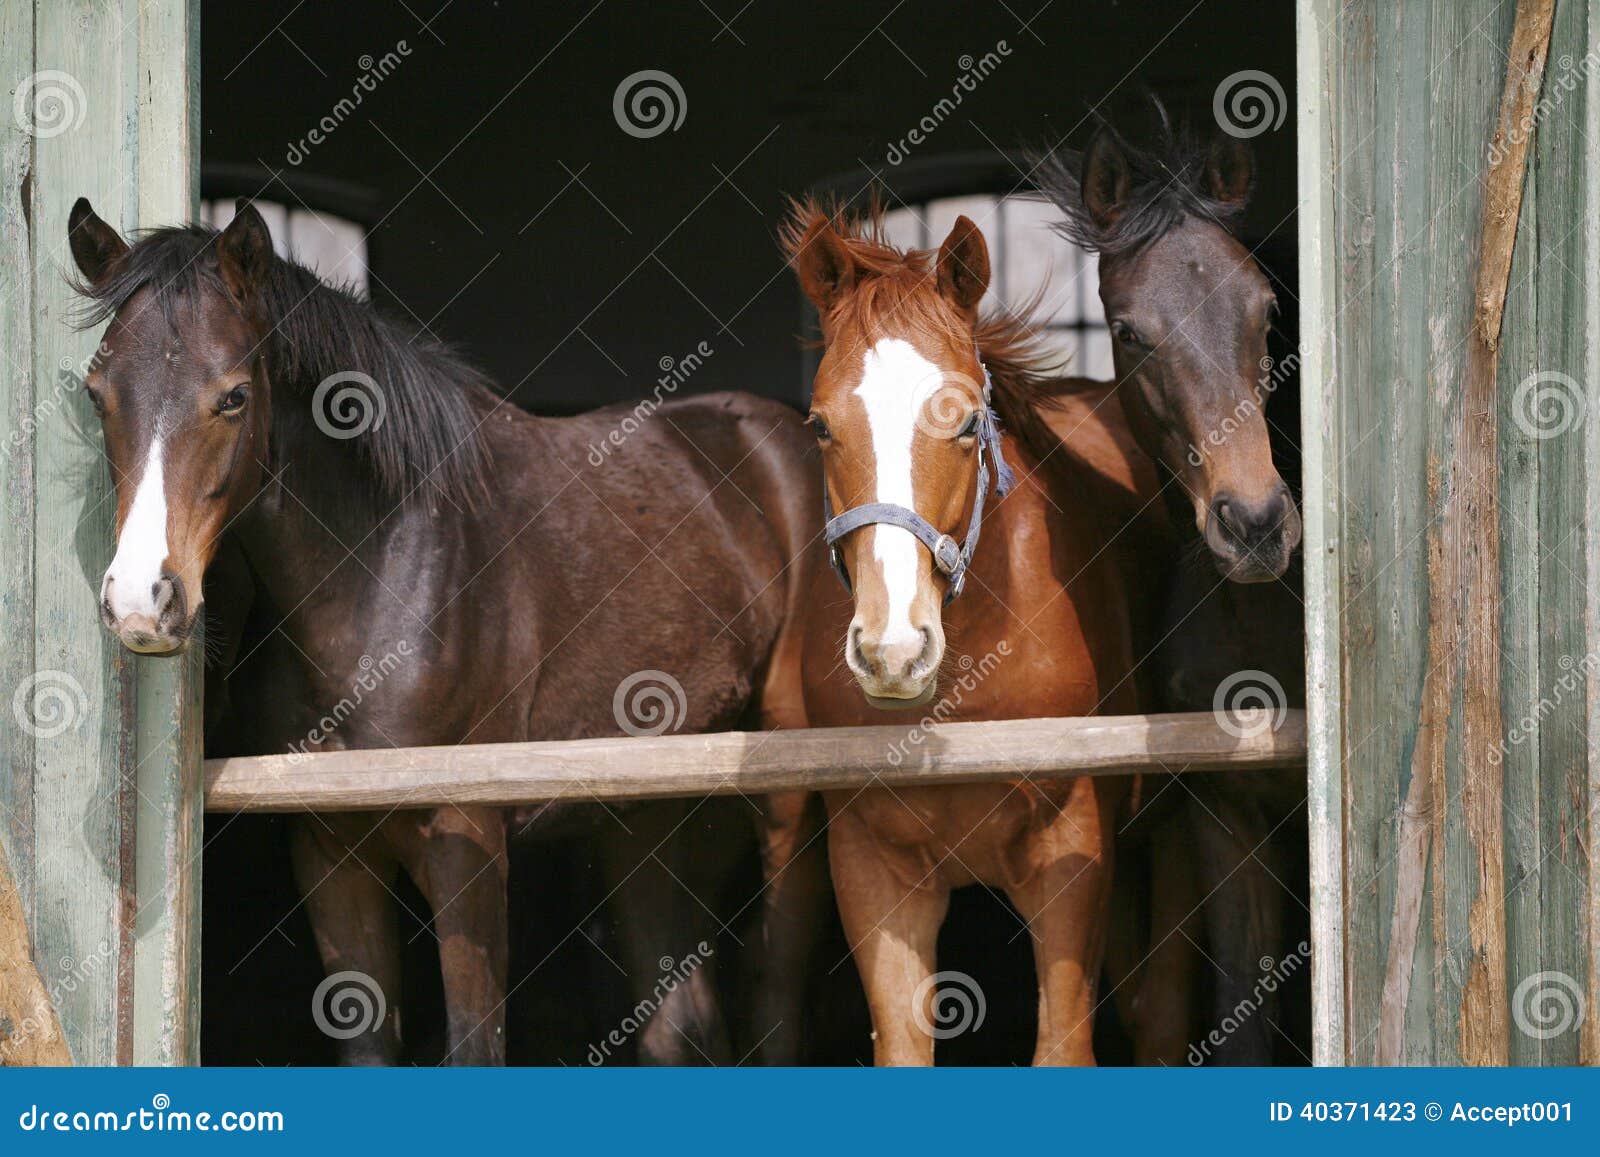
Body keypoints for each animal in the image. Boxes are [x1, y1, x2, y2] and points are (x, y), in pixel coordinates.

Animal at [67, 198, 822, 1065]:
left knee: (777, 986)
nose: (141, 600)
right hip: (648, 816)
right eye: (97, 393)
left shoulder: (466, 841)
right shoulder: (331, 851)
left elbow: (475, 1045)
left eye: (232, 397)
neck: (383, 570)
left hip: (788, 798)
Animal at [772, 201, 1155, 1066]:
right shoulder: (874, 868)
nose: (893, 650)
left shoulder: (1072, 856)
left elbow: (1063, 1049)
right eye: (820, 425)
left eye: (966, 420)